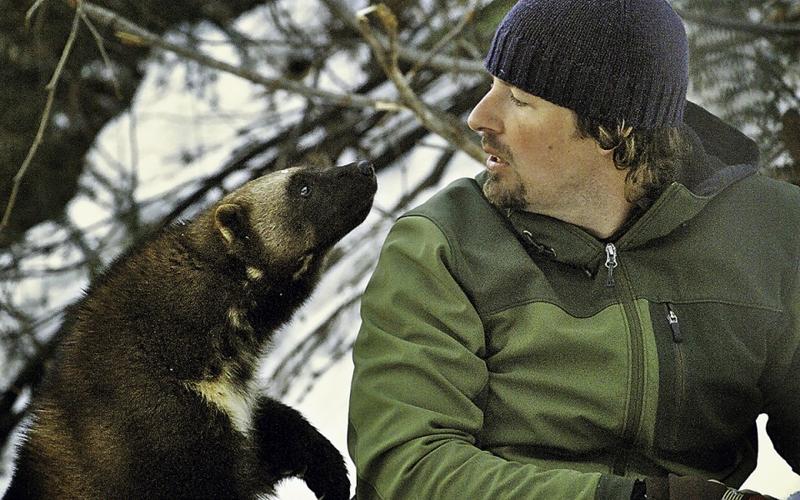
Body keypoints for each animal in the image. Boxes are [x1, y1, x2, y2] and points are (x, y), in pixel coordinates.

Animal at [3, 160, 377, 500]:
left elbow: (281, 430)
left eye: (310, 172)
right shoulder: (166, 430)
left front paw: (331, 472)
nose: (365, 167)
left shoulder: (237, 418)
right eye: (302, 187)